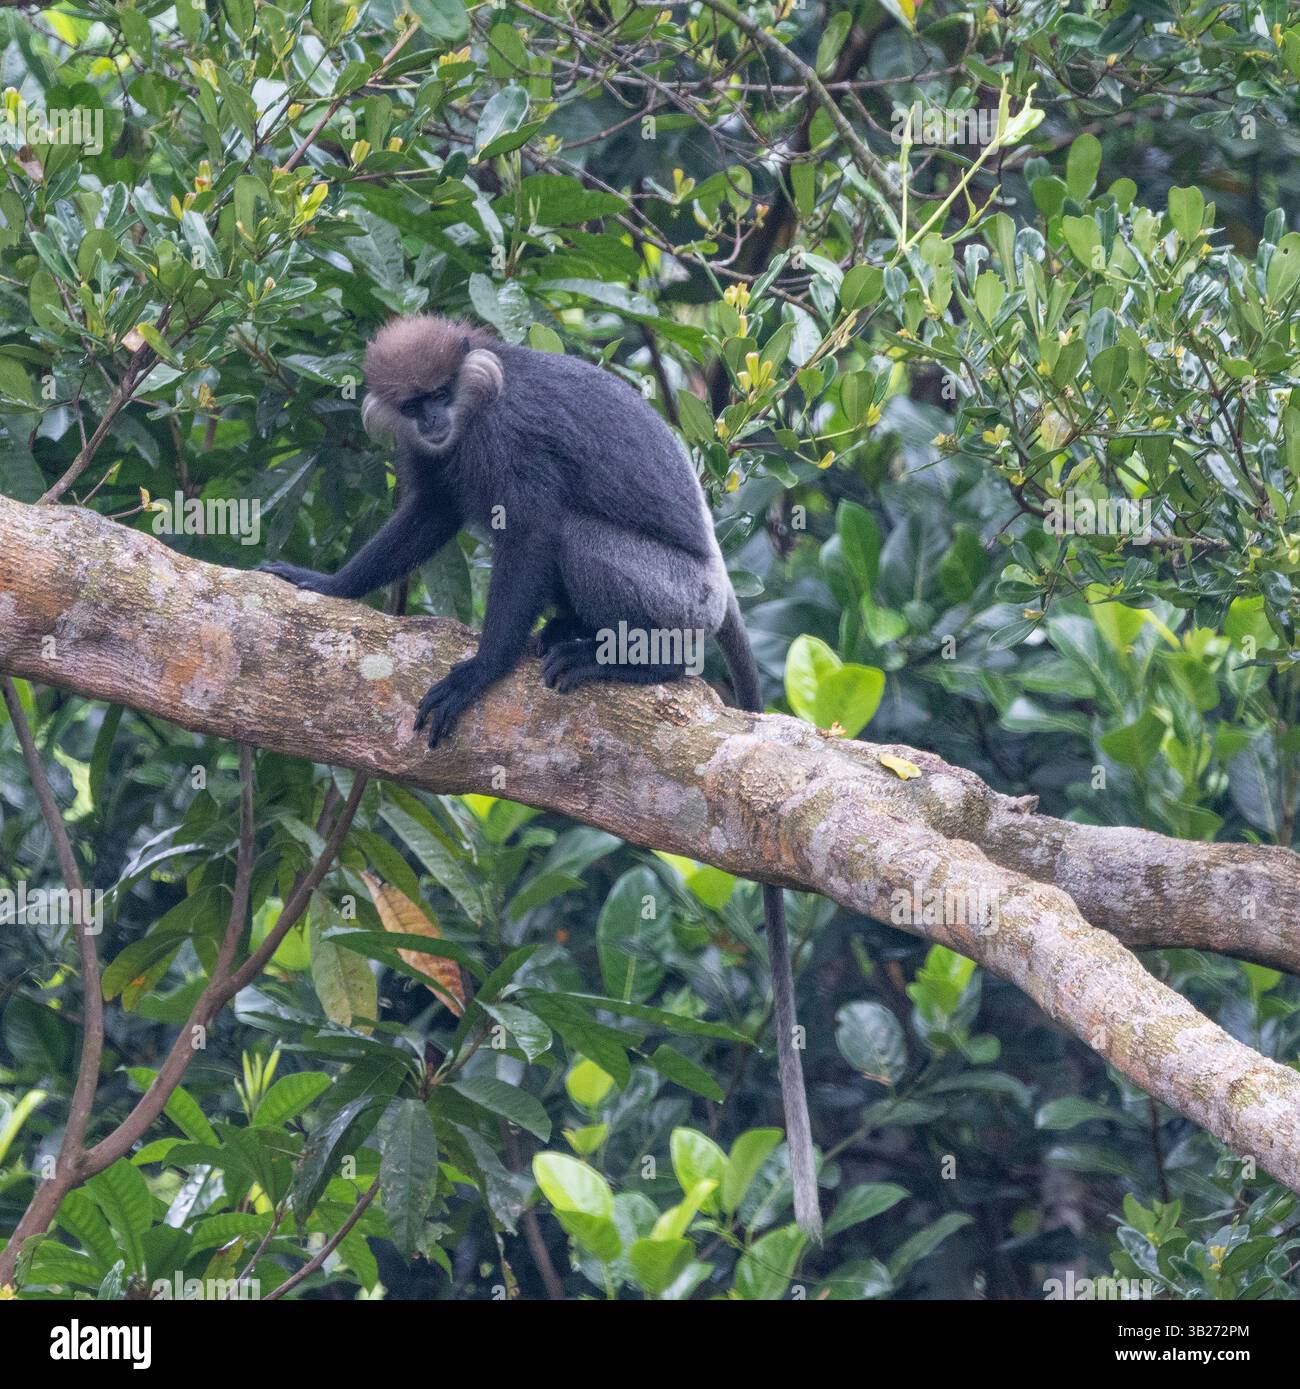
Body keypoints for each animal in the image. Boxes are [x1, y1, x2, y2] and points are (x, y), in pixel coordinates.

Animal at [260, 315, 822, 1239]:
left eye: (442, 393)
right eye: (414, 403)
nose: (437, 420)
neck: (475, 404)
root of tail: (719, 588)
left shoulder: (511, 443)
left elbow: (528, 530)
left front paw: (480, 670)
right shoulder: (433, 460)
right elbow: (428, 512)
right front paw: (329, 582)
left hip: (675, 599)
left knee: (575, 539)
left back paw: (618, 664)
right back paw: (569, 636)